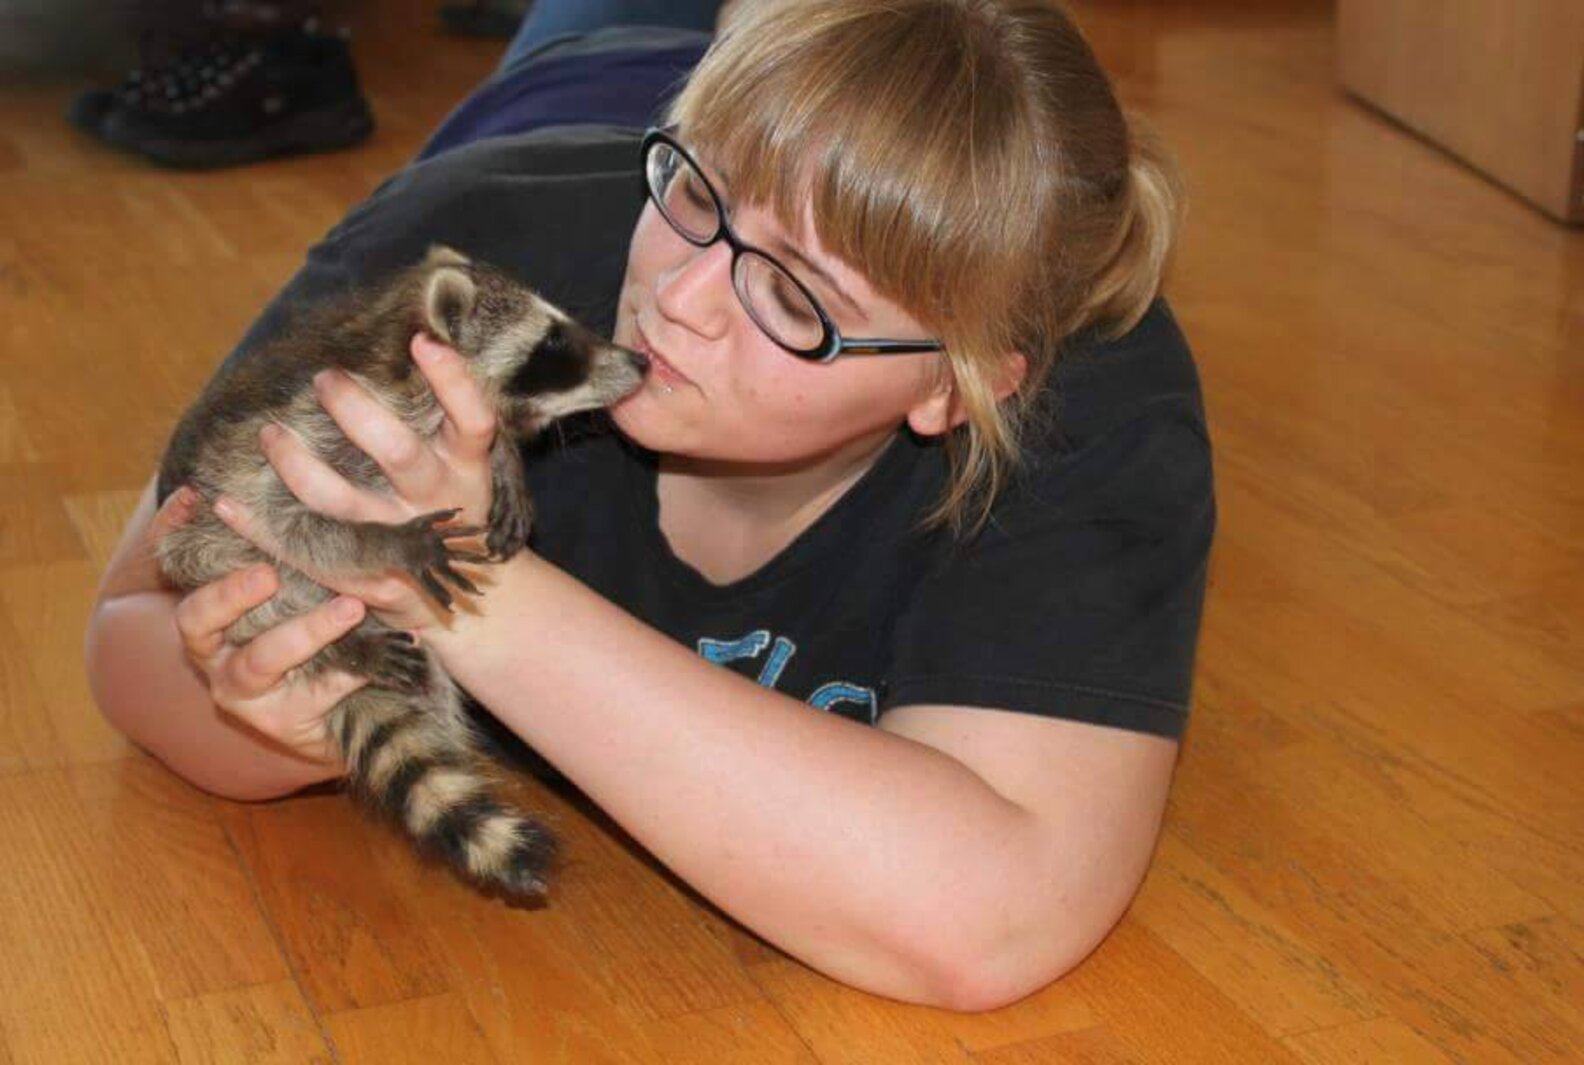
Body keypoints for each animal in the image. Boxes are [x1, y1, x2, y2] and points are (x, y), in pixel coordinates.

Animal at [156, 244, 648, 899]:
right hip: (199, 553)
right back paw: (339, 647)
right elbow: (286, 520)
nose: (639, 361)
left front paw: (504, 459)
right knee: (262, 582)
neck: (390, 340)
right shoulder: (291, 437)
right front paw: (388, 543)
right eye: (552, 342)